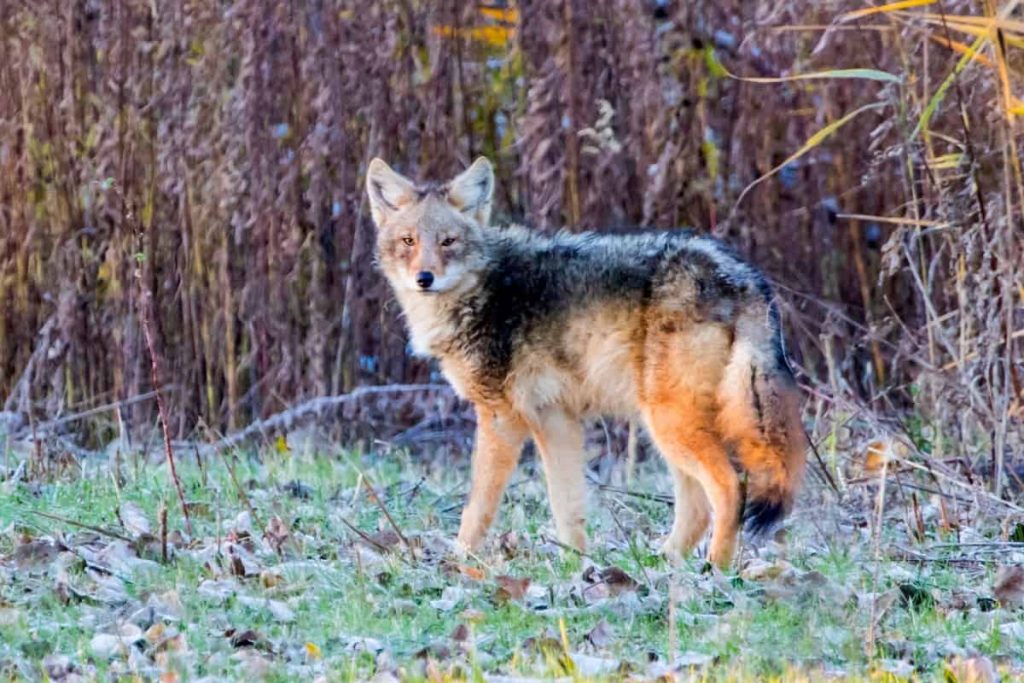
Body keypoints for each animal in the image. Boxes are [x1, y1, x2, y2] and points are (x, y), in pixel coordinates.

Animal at [365, 157, 807, 567]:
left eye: (448, 242)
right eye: (408, 241)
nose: (424, 278)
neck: (482, 291)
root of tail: (742, 276)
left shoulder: (500, 419)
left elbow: (478, 507)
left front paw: (460, 561)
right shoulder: (554, 419)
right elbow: (567, 508)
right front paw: (576, 567)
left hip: (671, 424)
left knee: (731, 489)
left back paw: (714, 572)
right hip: (666, 428)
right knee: (697, 507)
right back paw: (663, 566)